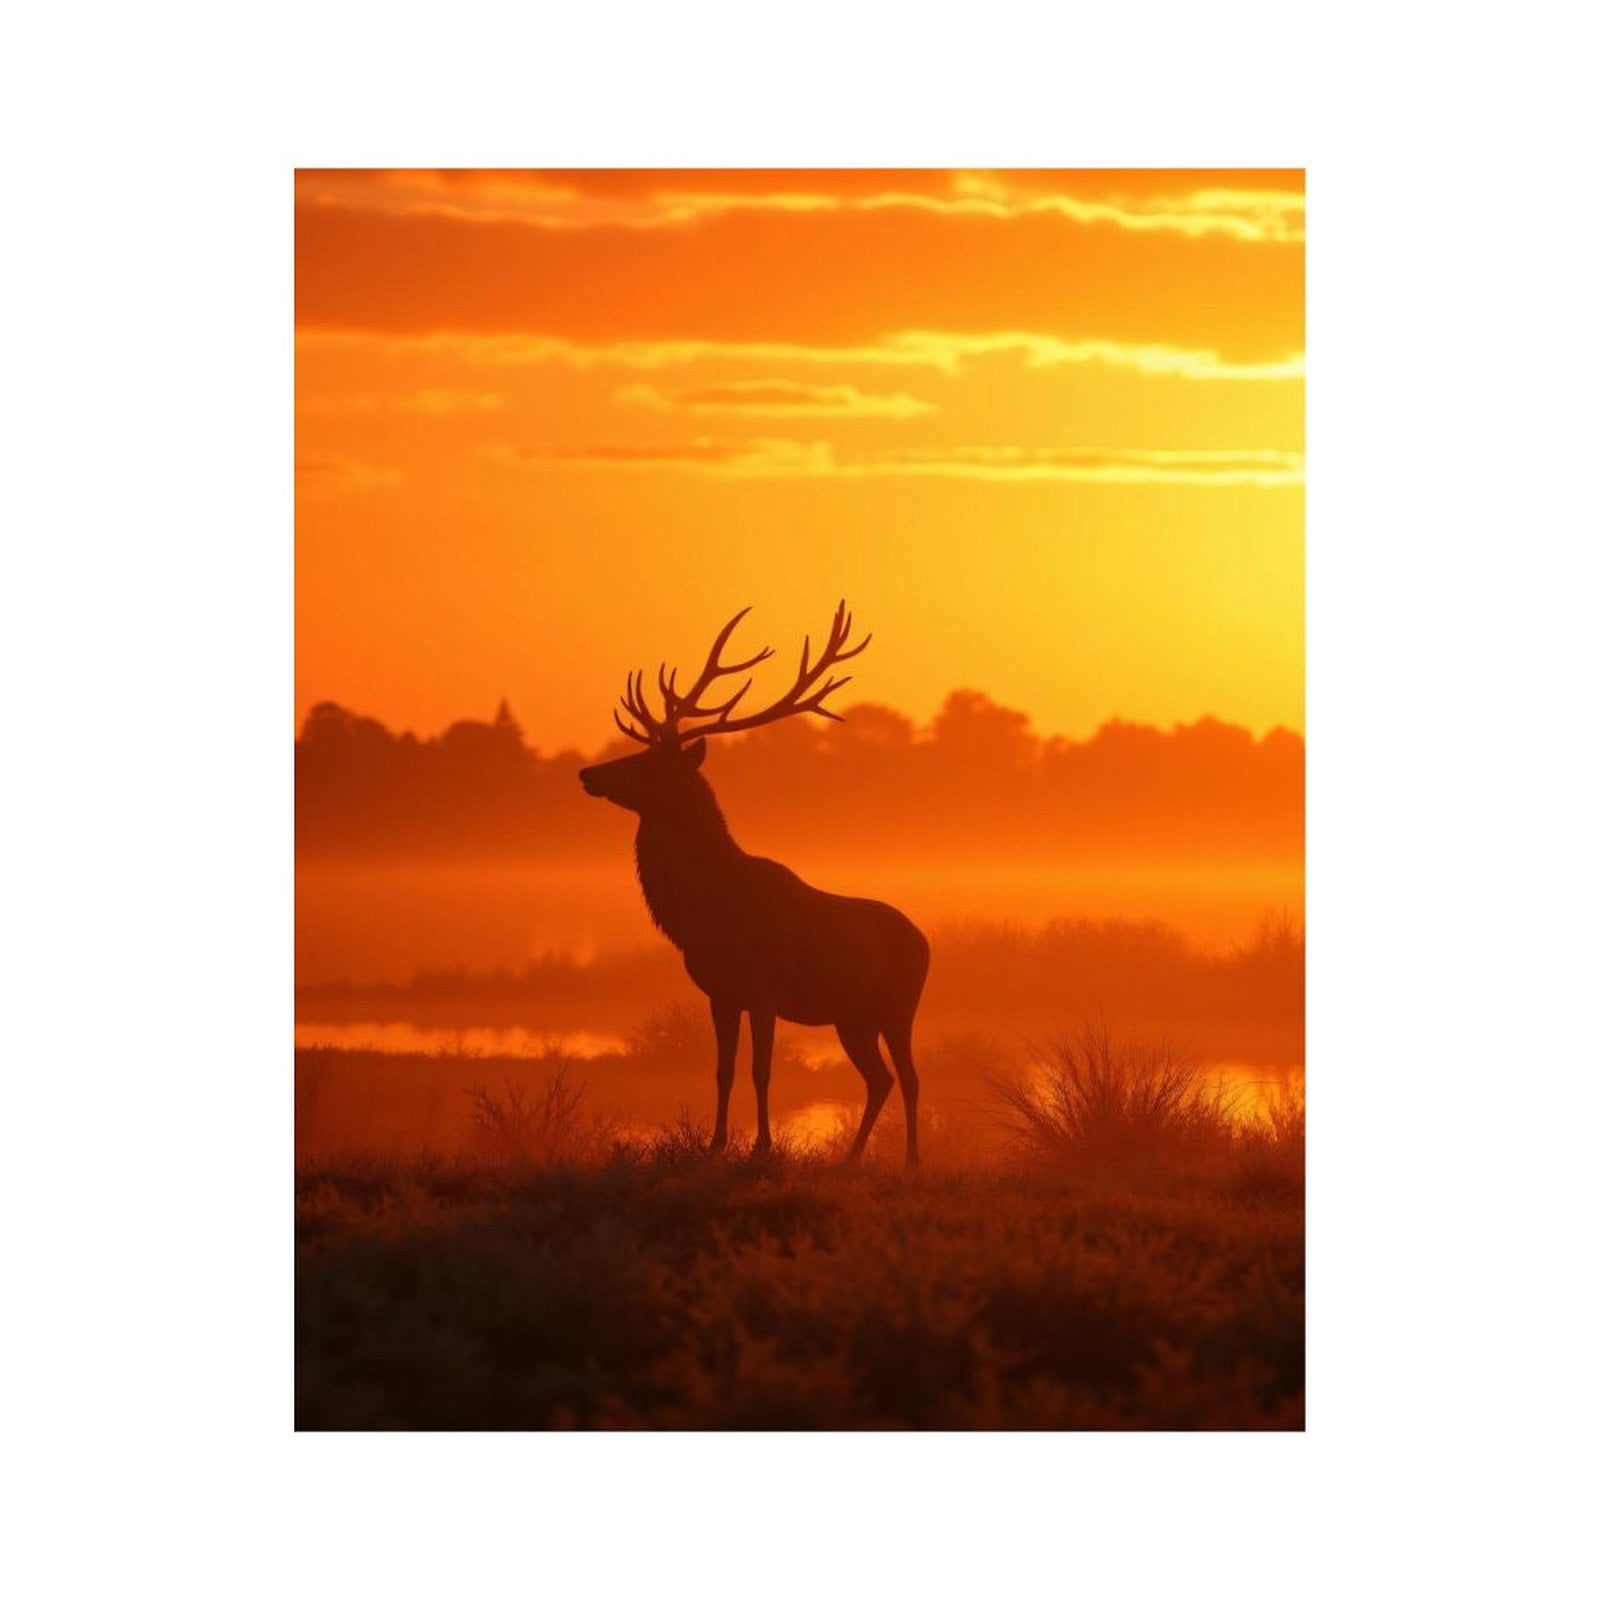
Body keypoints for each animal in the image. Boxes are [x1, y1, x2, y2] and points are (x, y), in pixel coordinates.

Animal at [578, 602, 930, 1164]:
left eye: (649, 762)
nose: (588, 772)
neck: (704, 912)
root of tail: (925, 942)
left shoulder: (765, 990)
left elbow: (761, 1072)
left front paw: (762, 1147)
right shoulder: (721, 993)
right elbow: (723, 1071)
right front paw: (716, 1143)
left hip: (898, 1006)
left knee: (910, 1077)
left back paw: (913, 1159)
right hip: (852, 1018)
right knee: (880, 1079)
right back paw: (852, 1157)